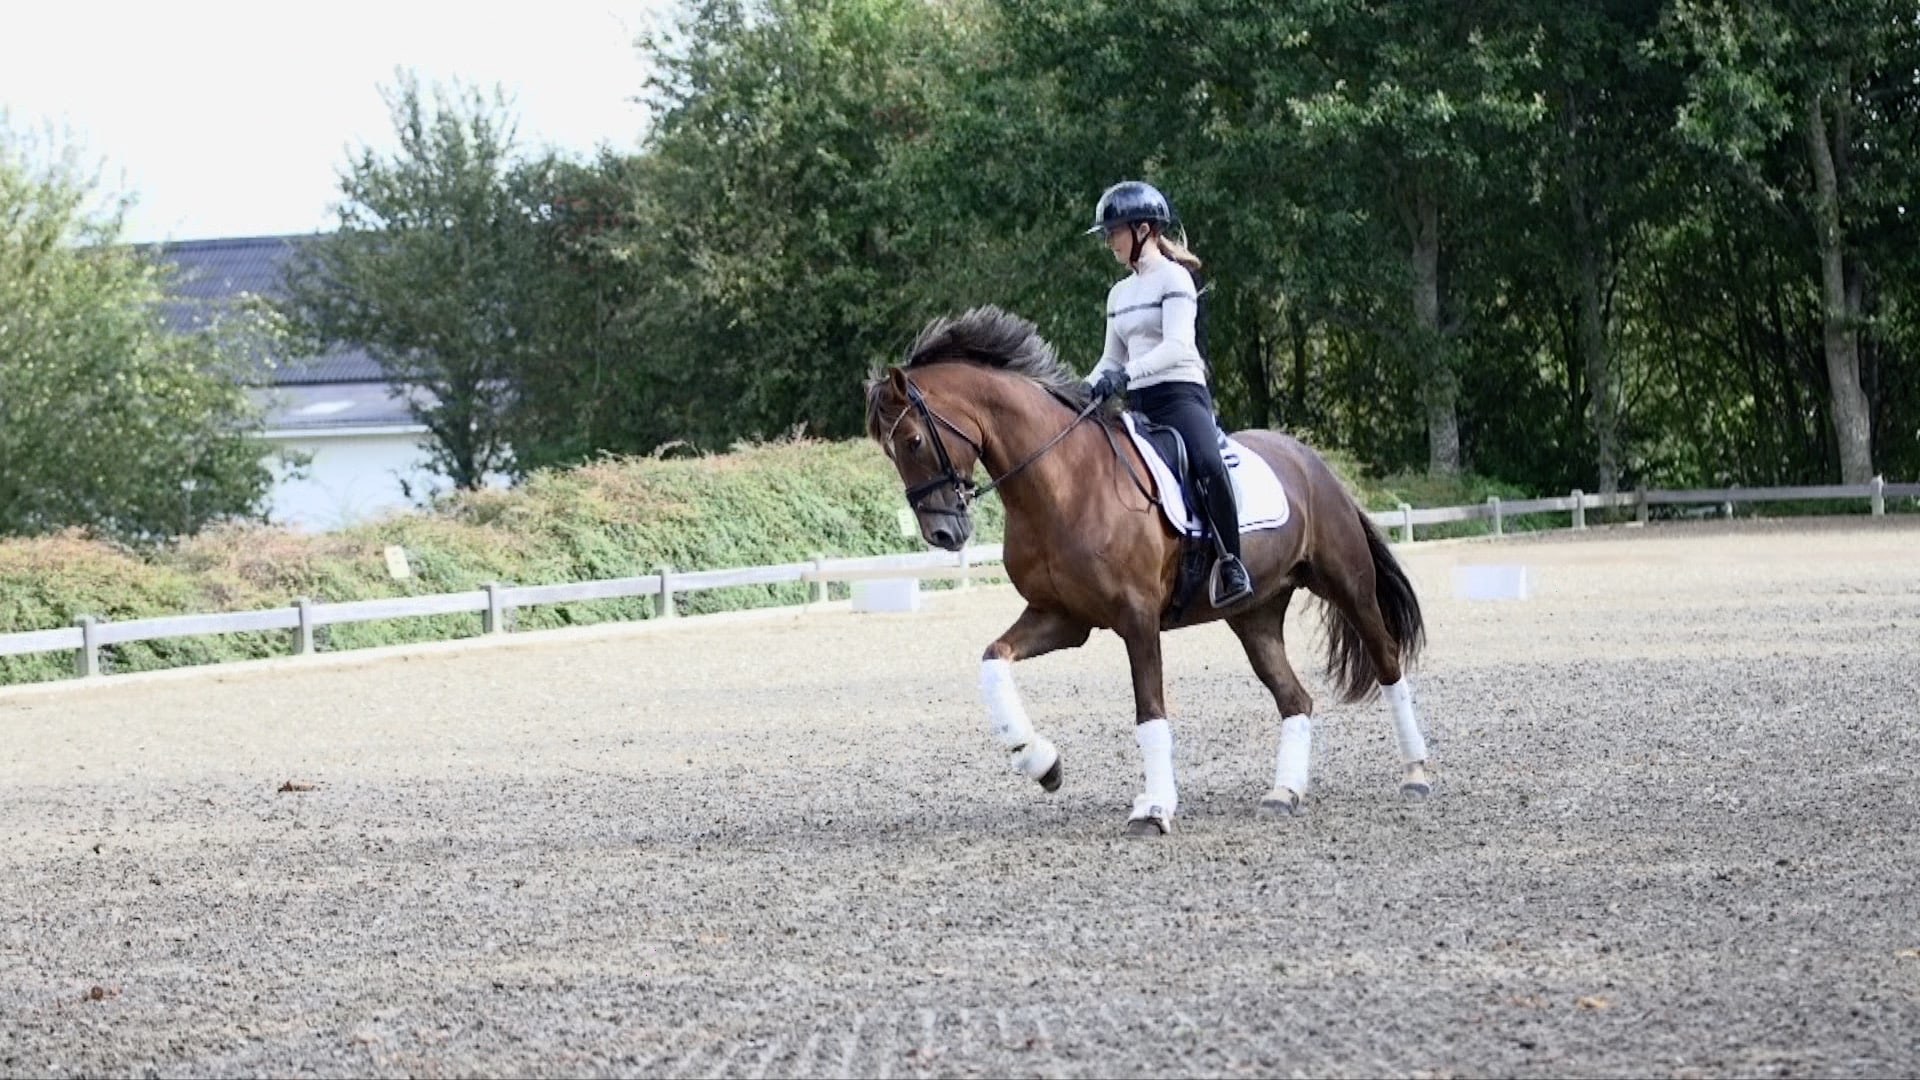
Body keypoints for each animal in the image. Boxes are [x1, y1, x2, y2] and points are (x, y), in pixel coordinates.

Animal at [864, 306, 1431, 836]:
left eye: (913, 441)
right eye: (889, 451)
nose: (943, 533)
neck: (1060, 483)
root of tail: (1313, 461)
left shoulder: (1136, 618)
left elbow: (1150, 710)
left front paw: (1154, 809)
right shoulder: (1061, 617)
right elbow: (993, 659)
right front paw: (1040, 761)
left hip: (1348, 585)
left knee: (1388, 665)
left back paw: (1416, 775)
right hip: (1255, 615)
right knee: (1295, 698)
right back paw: (1284, 793)